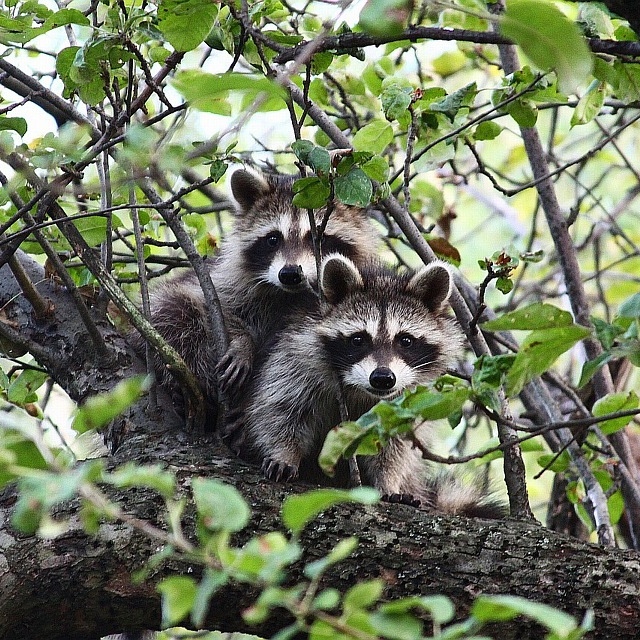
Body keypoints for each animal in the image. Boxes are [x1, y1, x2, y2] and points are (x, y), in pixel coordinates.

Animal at [136, 168, 379, 417]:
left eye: (317, 238)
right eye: (273, 239)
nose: (290, 274)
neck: (290, 294)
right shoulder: (223, 281)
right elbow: (211, 304)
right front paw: (242, 341)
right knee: (174, 311)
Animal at [232, 254, 506, 518]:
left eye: (405, 340)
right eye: (358, 339)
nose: (382, 378)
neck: (360, 389)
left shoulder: (408, 397)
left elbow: (394, 445)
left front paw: (388, 481)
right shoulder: (295, 359)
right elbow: (280, 408)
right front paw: (283, 453)